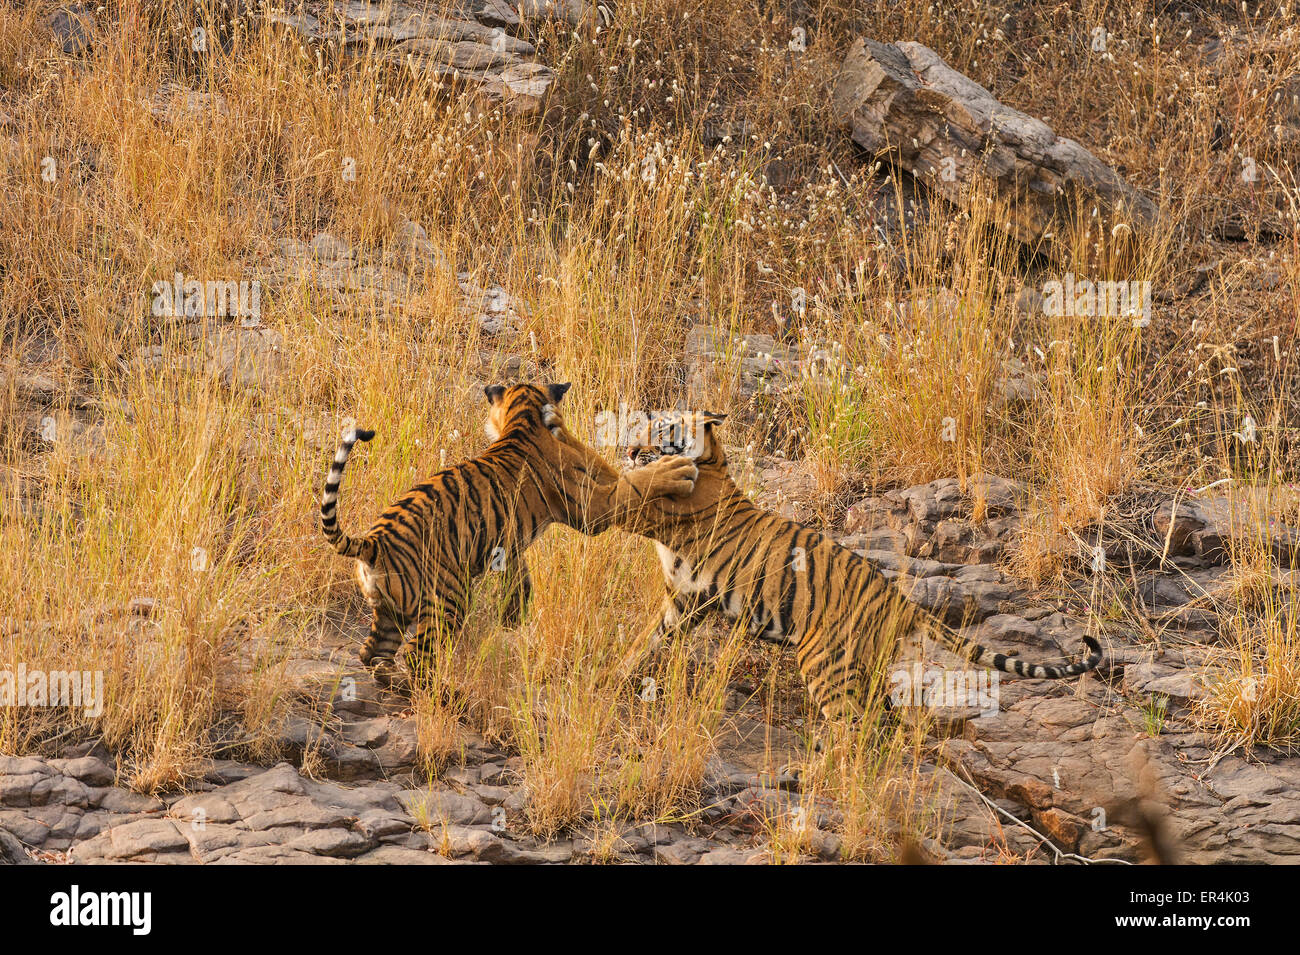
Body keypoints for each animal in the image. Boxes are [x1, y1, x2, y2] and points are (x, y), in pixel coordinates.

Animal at [320, 382, 699, 675]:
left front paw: (513, 620)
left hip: (390, 611)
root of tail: (373, 541)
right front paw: (676, 471)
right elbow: (635, 485)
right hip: (448, 598)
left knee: (372, 653)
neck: (521, 420)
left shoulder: (516, 543)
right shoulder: (592, 509)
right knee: (416, 657)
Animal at [620, 410, 1103, 722]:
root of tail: (901, 600)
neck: (713, 461)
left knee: (851, 730)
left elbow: (624, 492)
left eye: (662, 430)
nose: (629, 450)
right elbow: (651, 636)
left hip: (826, 663)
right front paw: (620, 669)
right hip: (862, 667)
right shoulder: (686, 597)